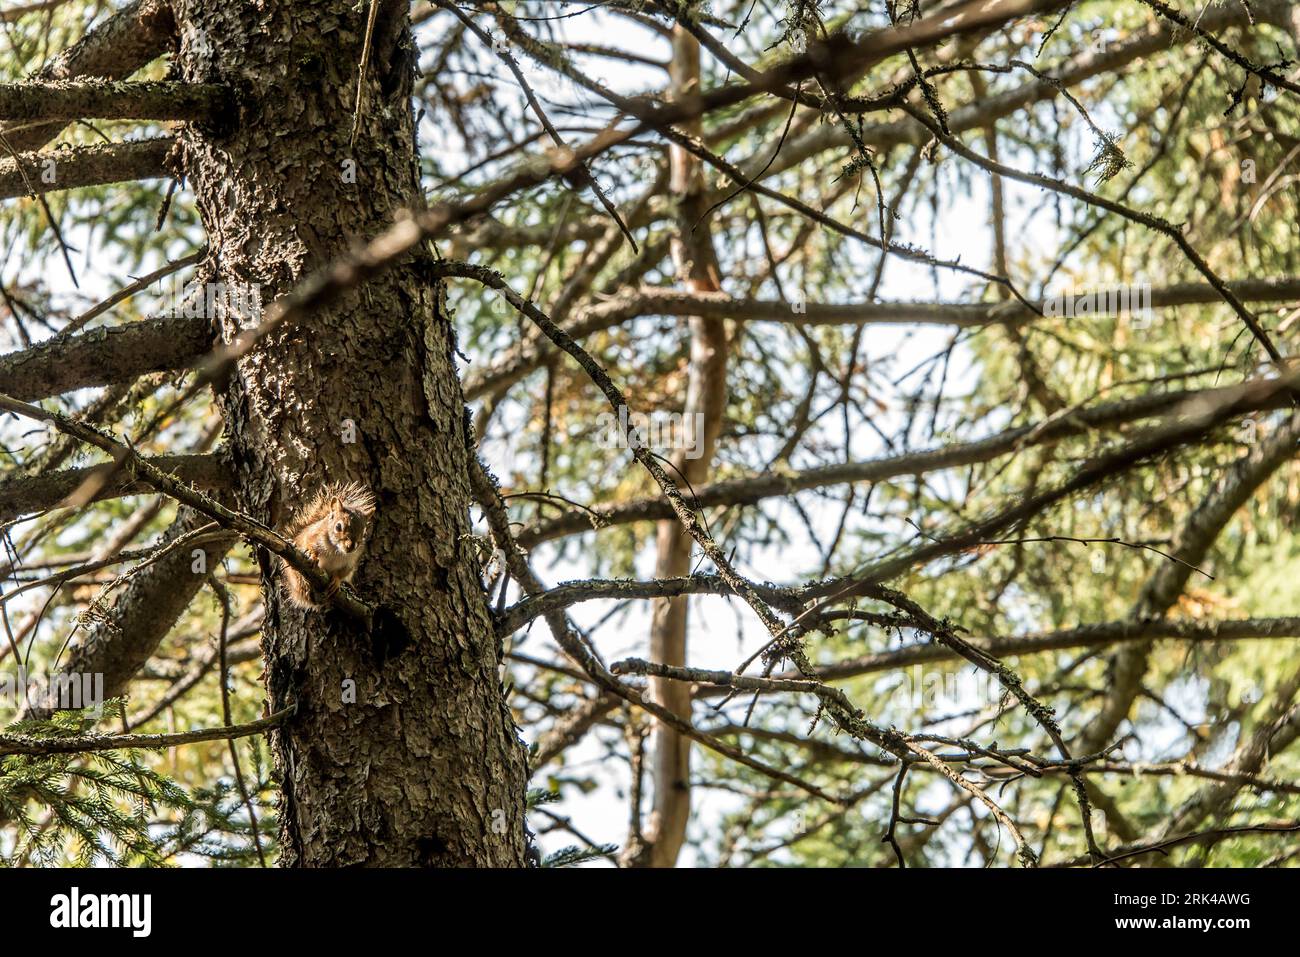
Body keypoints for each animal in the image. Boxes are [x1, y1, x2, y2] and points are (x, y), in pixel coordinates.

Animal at [280, 481, 377, 610]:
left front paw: (336, 581)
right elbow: (308, 543)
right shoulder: (313, 535)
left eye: (364, 532)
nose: (350, 547)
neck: (336, 550)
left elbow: (343, 573)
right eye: (338, 527)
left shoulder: (352, 561)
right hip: (295, 574)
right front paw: (312, 555)